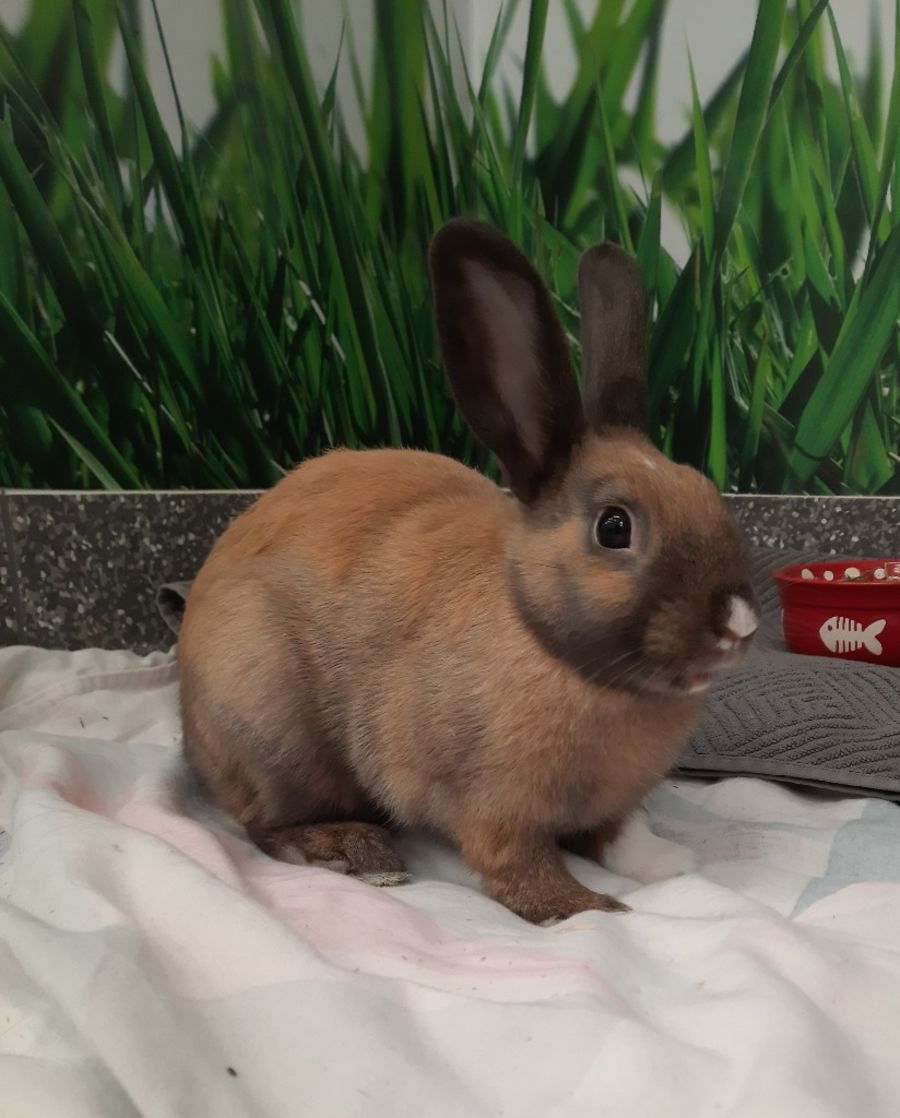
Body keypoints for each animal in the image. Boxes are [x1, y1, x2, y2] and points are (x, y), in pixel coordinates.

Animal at [178, 219, 757, 925]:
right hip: (271, 723)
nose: (739, 622)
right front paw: (588, 909)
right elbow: (520, 866)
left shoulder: (613, 802)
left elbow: (621, 832)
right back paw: (356, 853)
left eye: (706, 489)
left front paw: (670, 864)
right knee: (265, 823)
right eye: (615, 527)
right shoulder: (489, 804)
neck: (562, 659)